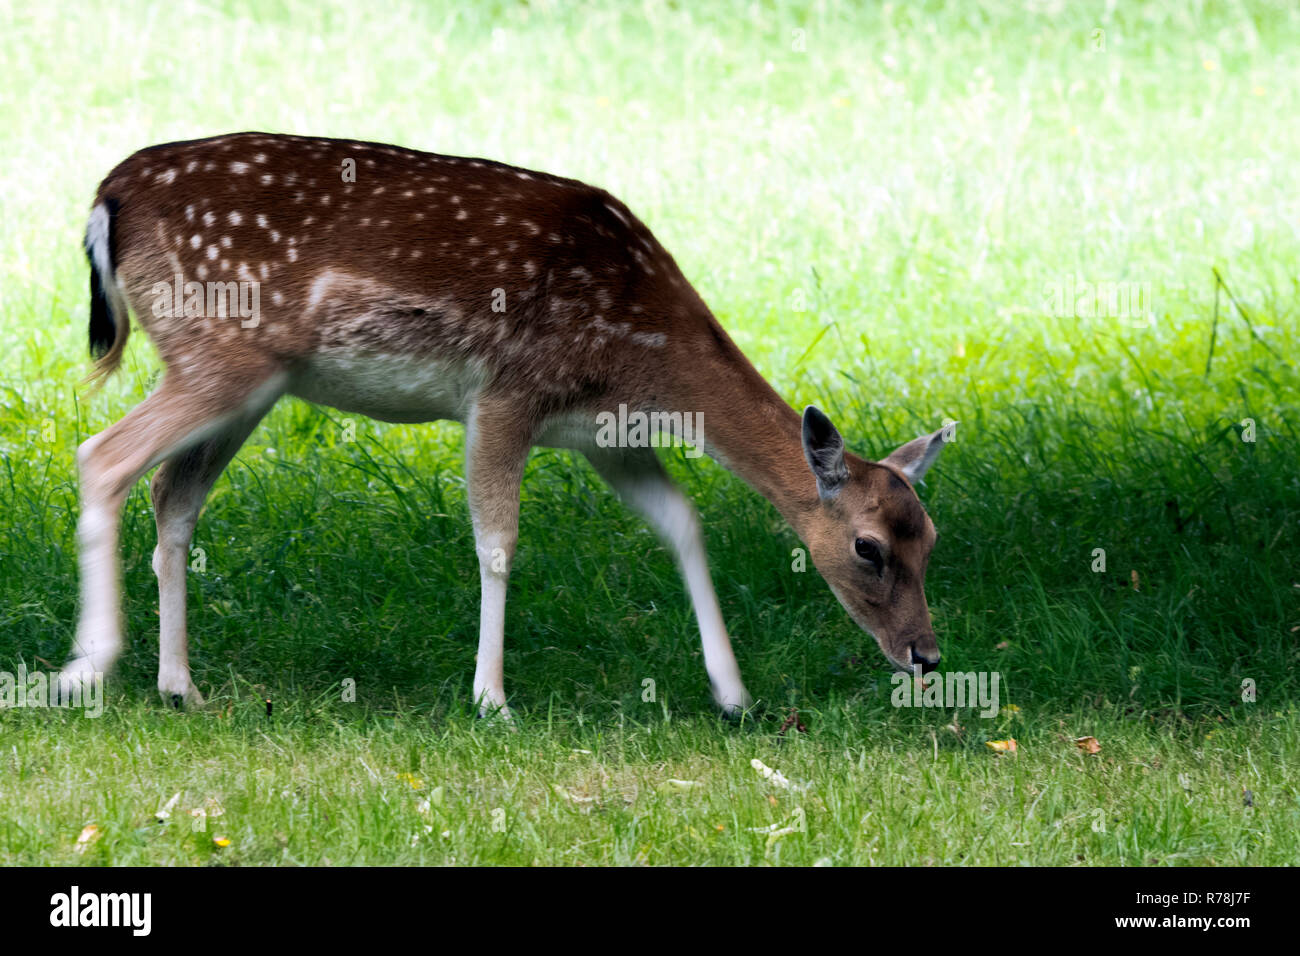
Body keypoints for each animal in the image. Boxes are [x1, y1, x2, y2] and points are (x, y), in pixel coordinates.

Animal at [63, 132, 949, 719]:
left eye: (932, 539)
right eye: (868, 548)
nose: (928, 655)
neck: (645, 360)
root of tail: (107, 199)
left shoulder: (603, 437)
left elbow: (683, 523)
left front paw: (733, 693)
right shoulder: (505, 395)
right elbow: (498, 541)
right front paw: (491, 697)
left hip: (249, 383)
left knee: (172, 496)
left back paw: (180, 684)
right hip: (220, 355)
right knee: (102, 456)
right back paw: (89, 667)